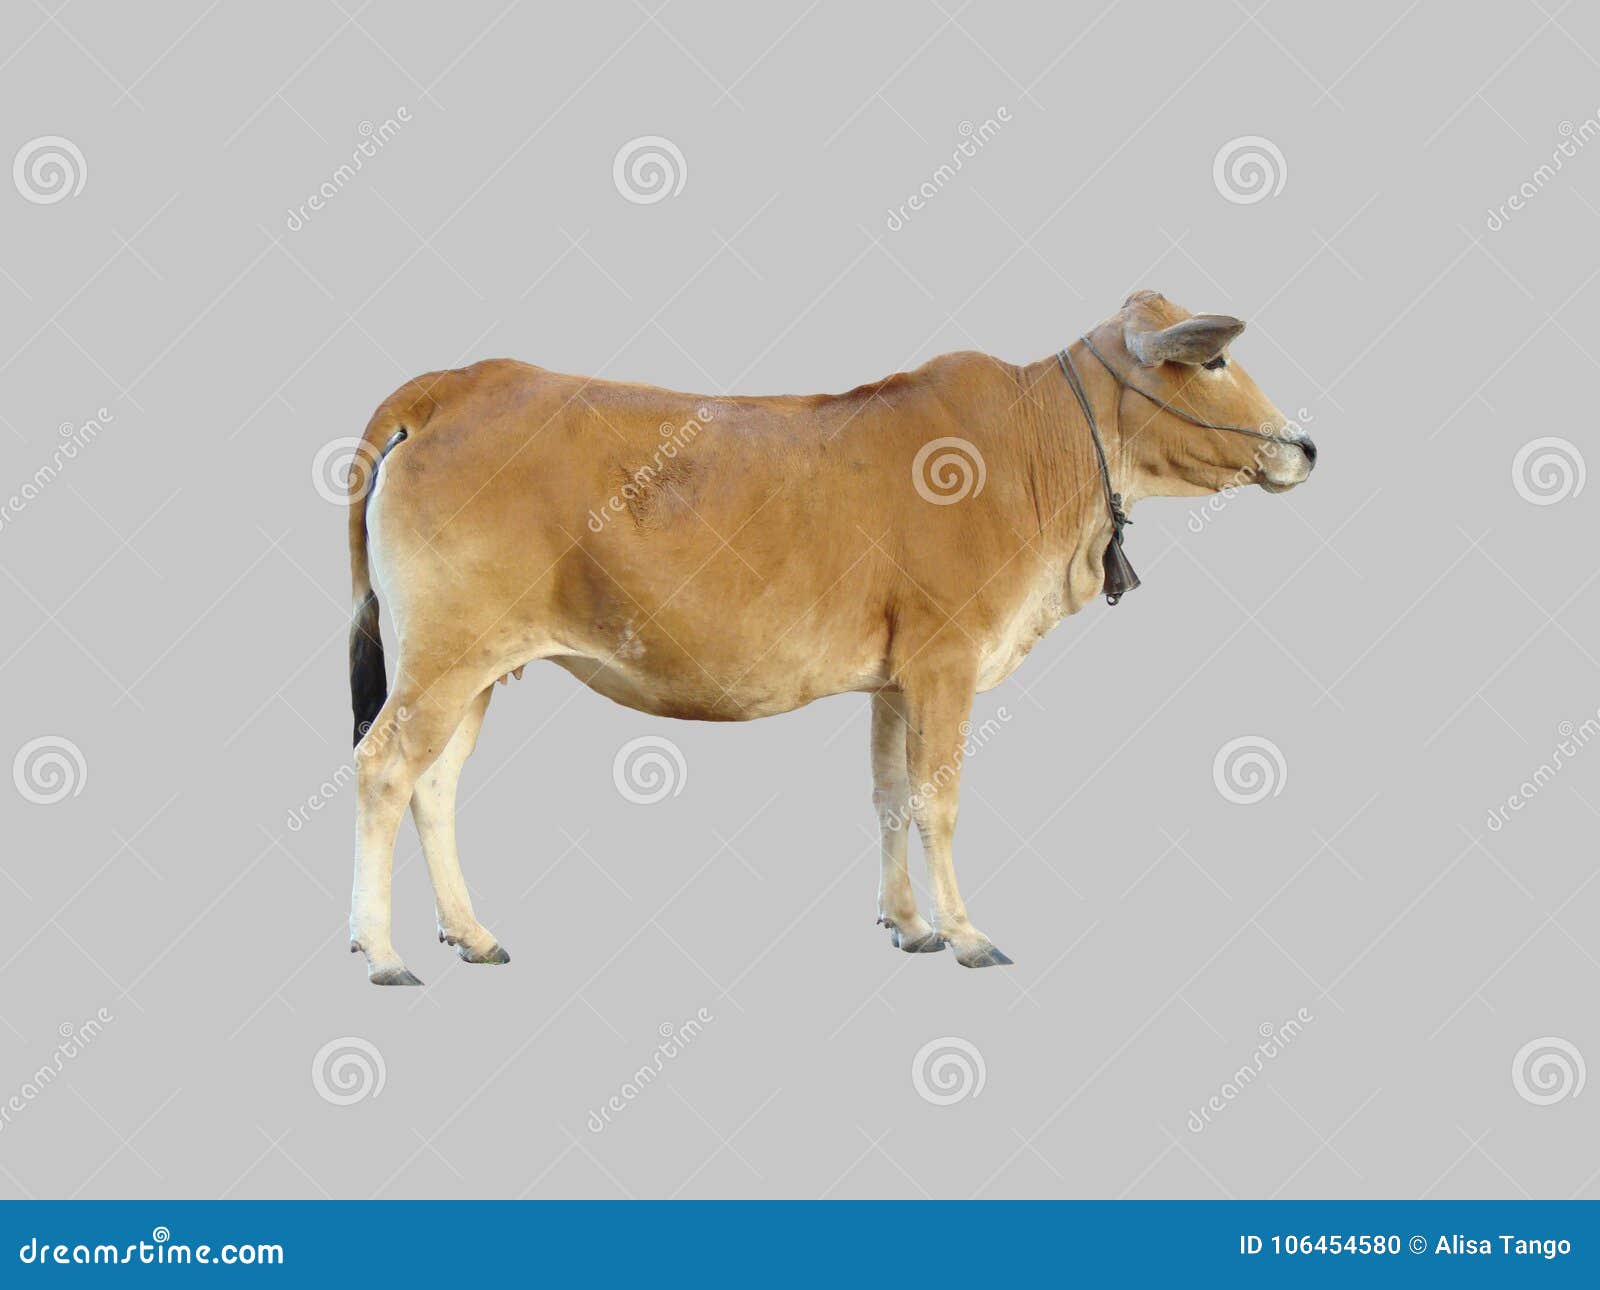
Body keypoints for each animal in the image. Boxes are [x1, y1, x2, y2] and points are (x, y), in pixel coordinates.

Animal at [343, 290, 1316, 985]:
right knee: (384, 768)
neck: (1033, 452)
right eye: (1217, 358)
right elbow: (938, 802)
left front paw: (911, 926)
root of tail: (462, 380)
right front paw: (967, 934)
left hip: (474, 669)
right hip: (443, 659)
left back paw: (471, 934)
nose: (1305, 446)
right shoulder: (945, 663)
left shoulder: (894, 678)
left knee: (435, 786)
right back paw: (382, 952)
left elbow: (889, 795)